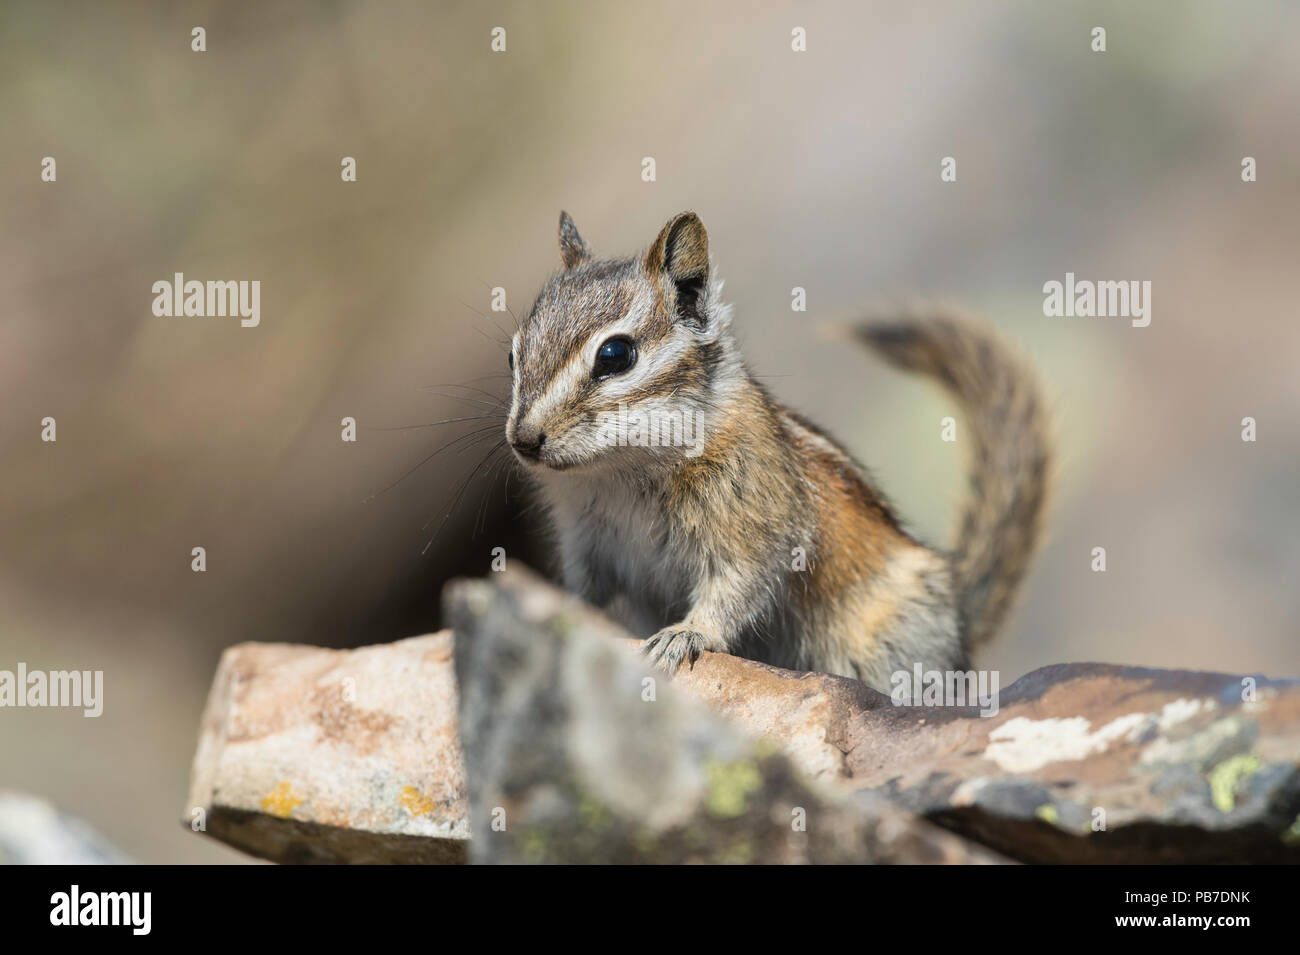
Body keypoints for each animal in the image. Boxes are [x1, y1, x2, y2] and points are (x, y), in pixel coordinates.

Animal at [504, 210, 1050, 690]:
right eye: (513, 355)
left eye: (616, 355)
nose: (524, 440)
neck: (621, 471)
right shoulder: (586, 539)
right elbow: (587, 591)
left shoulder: (755, 526)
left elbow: (737, 587)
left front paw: (684, 635)